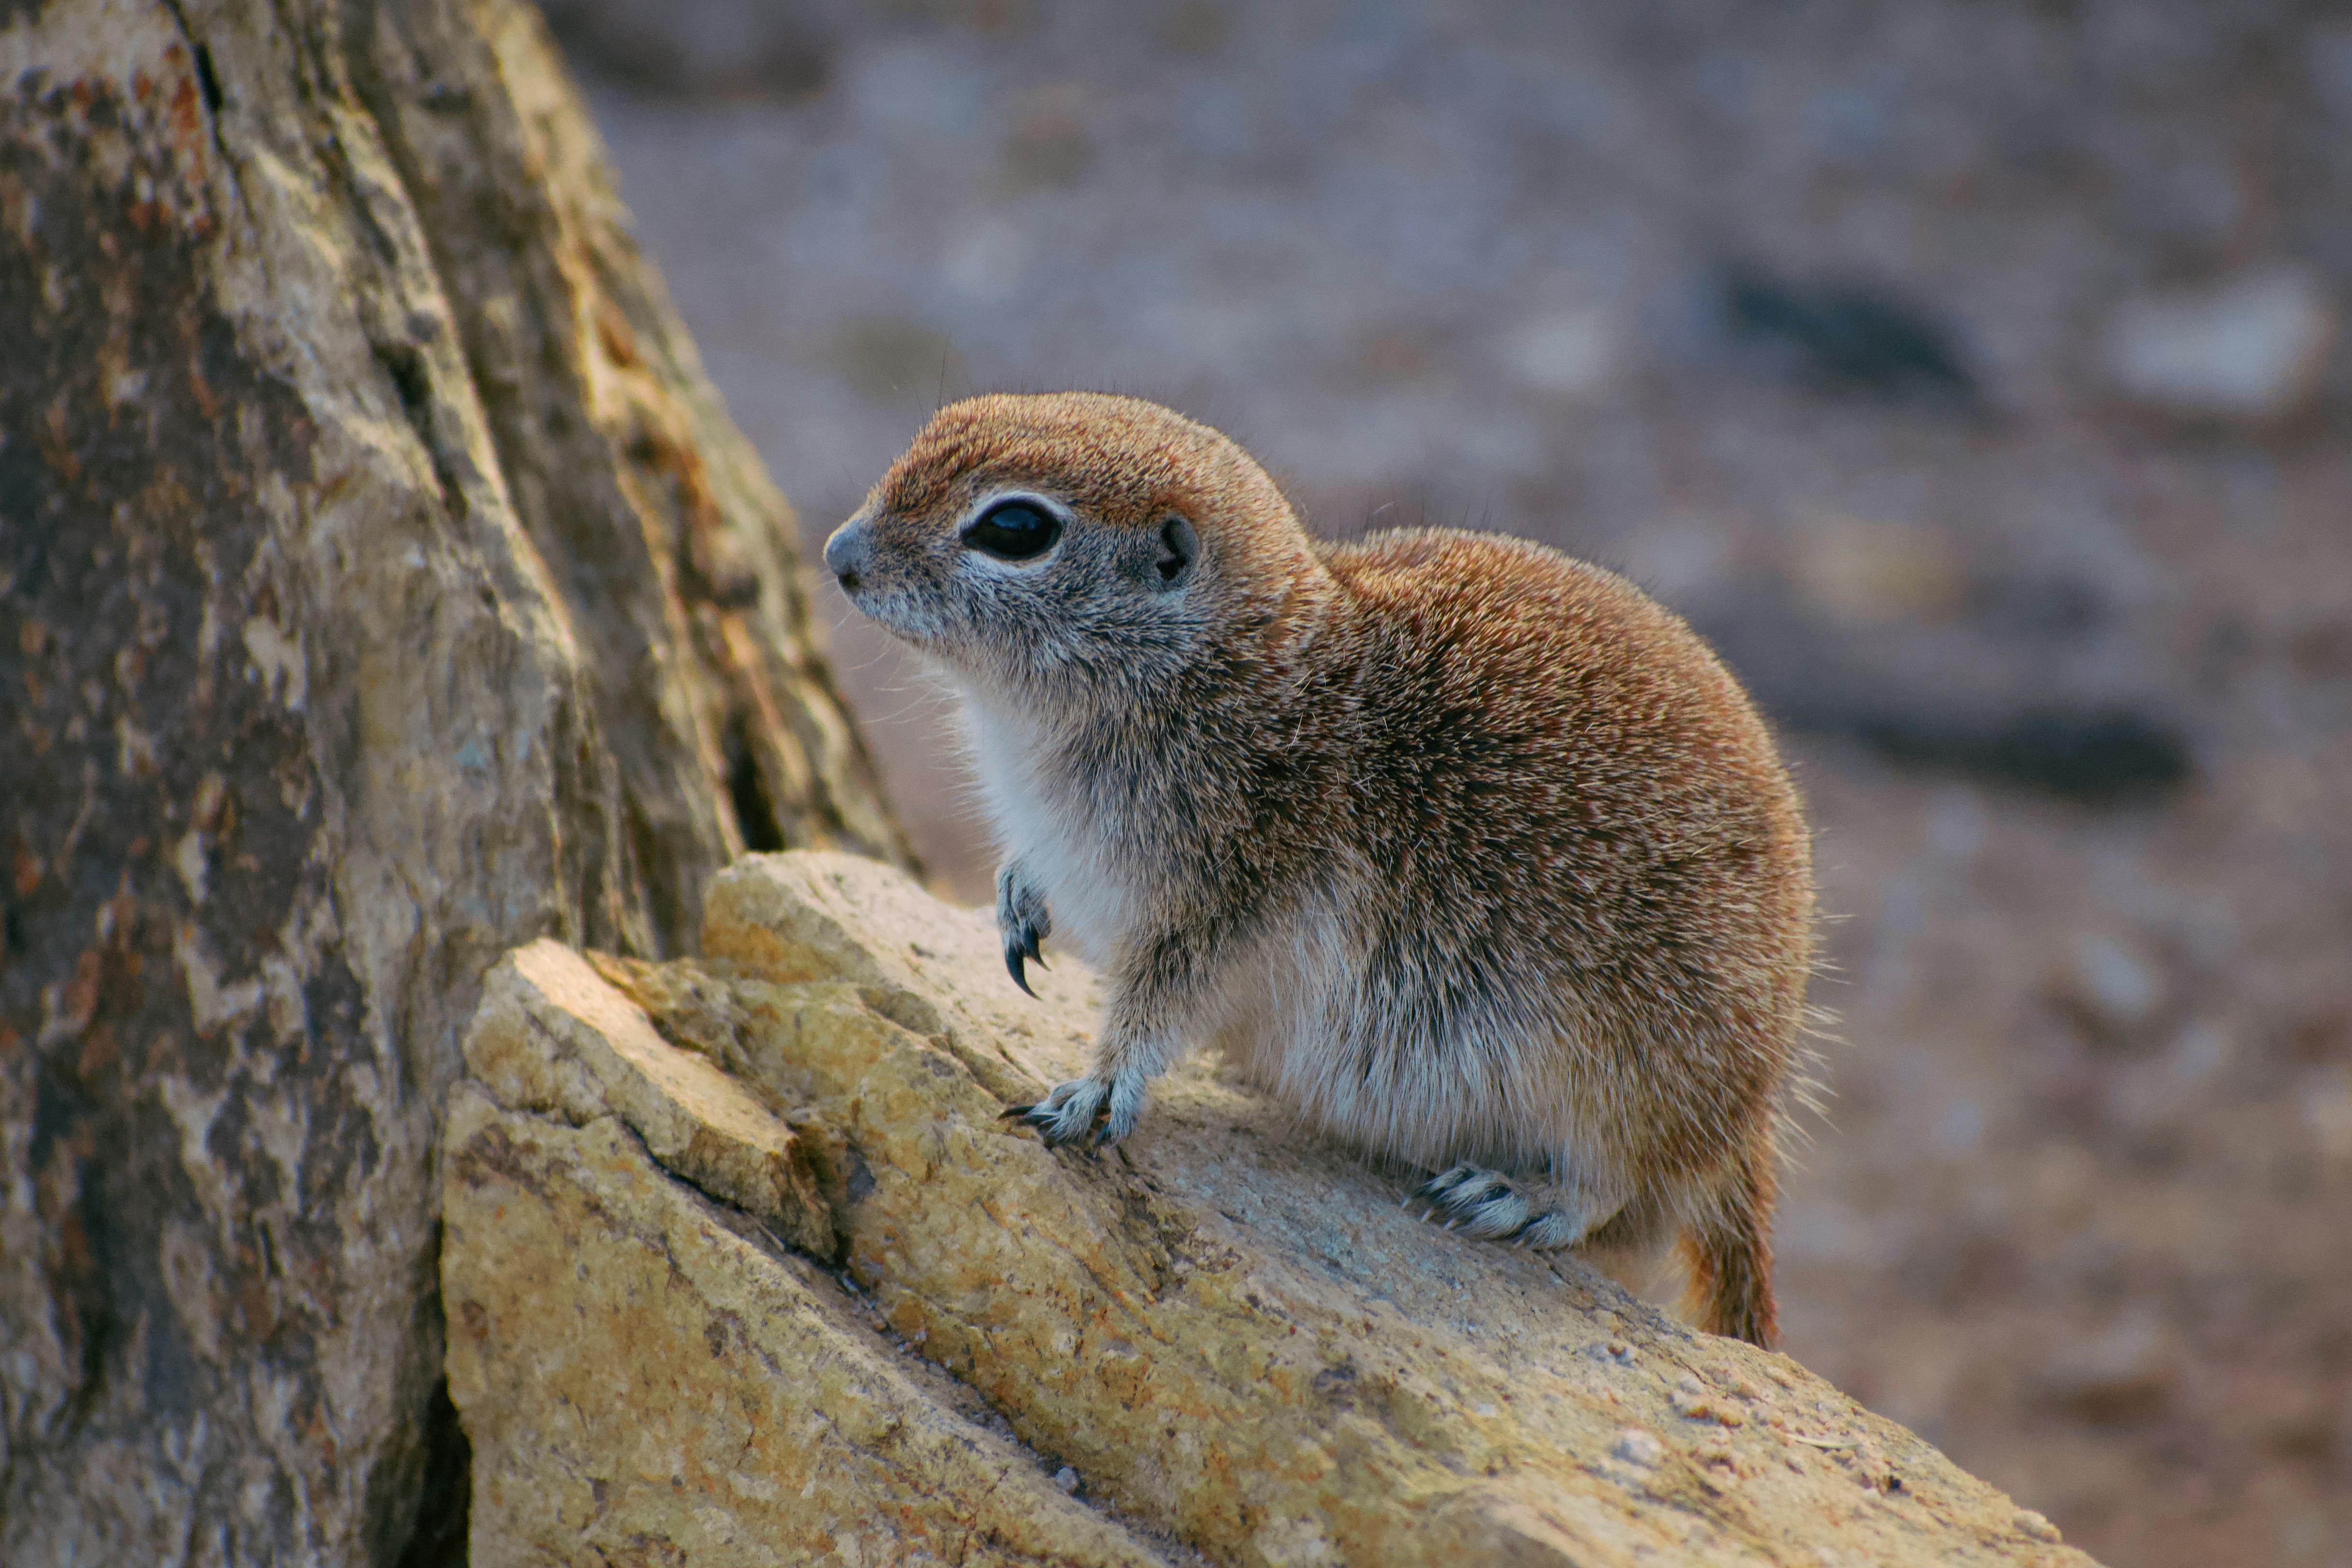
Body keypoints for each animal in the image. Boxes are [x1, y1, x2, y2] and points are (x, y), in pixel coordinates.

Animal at [822, 392, 1815, 1347]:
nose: (837, 555)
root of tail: (1751, 1113)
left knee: (1623, 1185)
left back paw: (1521, 1195)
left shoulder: (1220, 903)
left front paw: (1094, 1091)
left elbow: (1153, 1013)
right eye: (935, 425)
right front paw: (1015, 897)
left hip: (1625, 1067)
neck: (1223, 674)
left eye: (1015, 527)